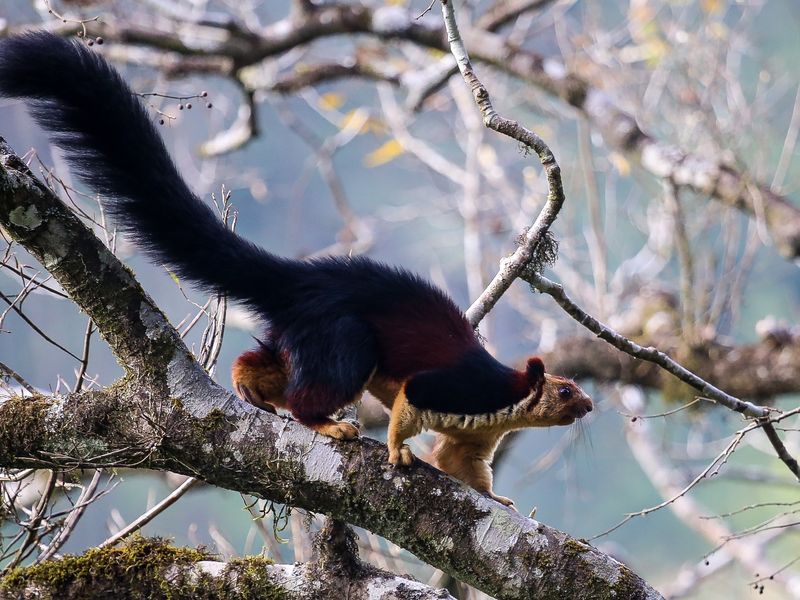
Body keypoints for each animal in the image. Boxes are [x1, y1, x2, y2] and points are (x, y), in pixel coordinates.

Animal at [0, 32, 593, 507]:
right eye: (565, 390)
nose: (588, 404)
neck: (505, 396)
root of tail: (301, 281)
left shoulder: (471, 439)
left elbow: (462, 467)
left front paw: (500, 501)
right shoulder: (453, 386)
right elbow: (407, 407)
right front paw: (398, 452)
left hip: (307, 339)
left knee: (260, 365)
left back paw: (251, 392)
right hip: (344, 339)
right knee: (309, 397)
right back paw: (332, 426)